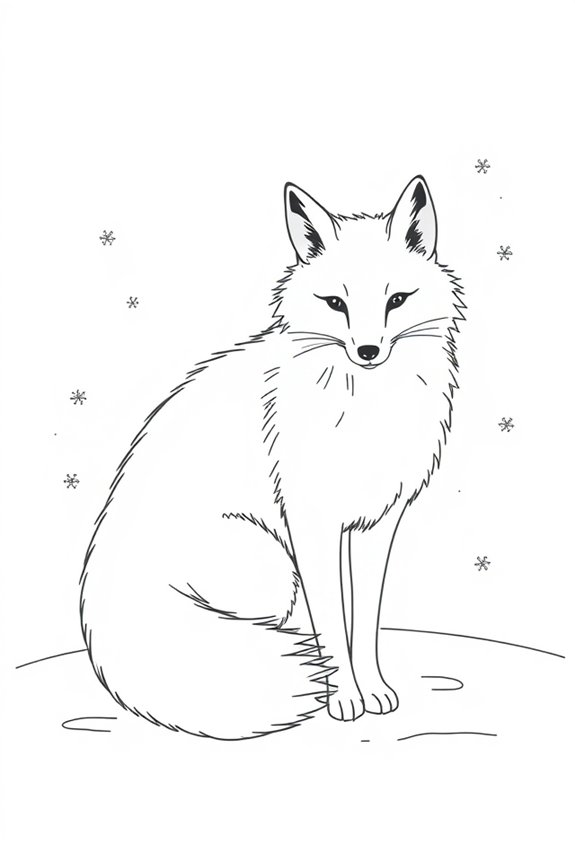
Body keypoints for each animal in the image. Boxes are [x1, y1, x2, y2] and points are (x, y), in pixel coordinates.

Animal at [79, 175, 465, 739]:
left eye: (397, 299)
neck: (365, 408)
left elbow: (365, 620)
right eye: (335, 303)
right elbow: (332, 623)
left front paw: (372, 689)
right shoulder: (311, 524)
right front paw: (343, 696)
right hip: (273, 567)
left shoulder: (377, 523)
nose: (368, 352)